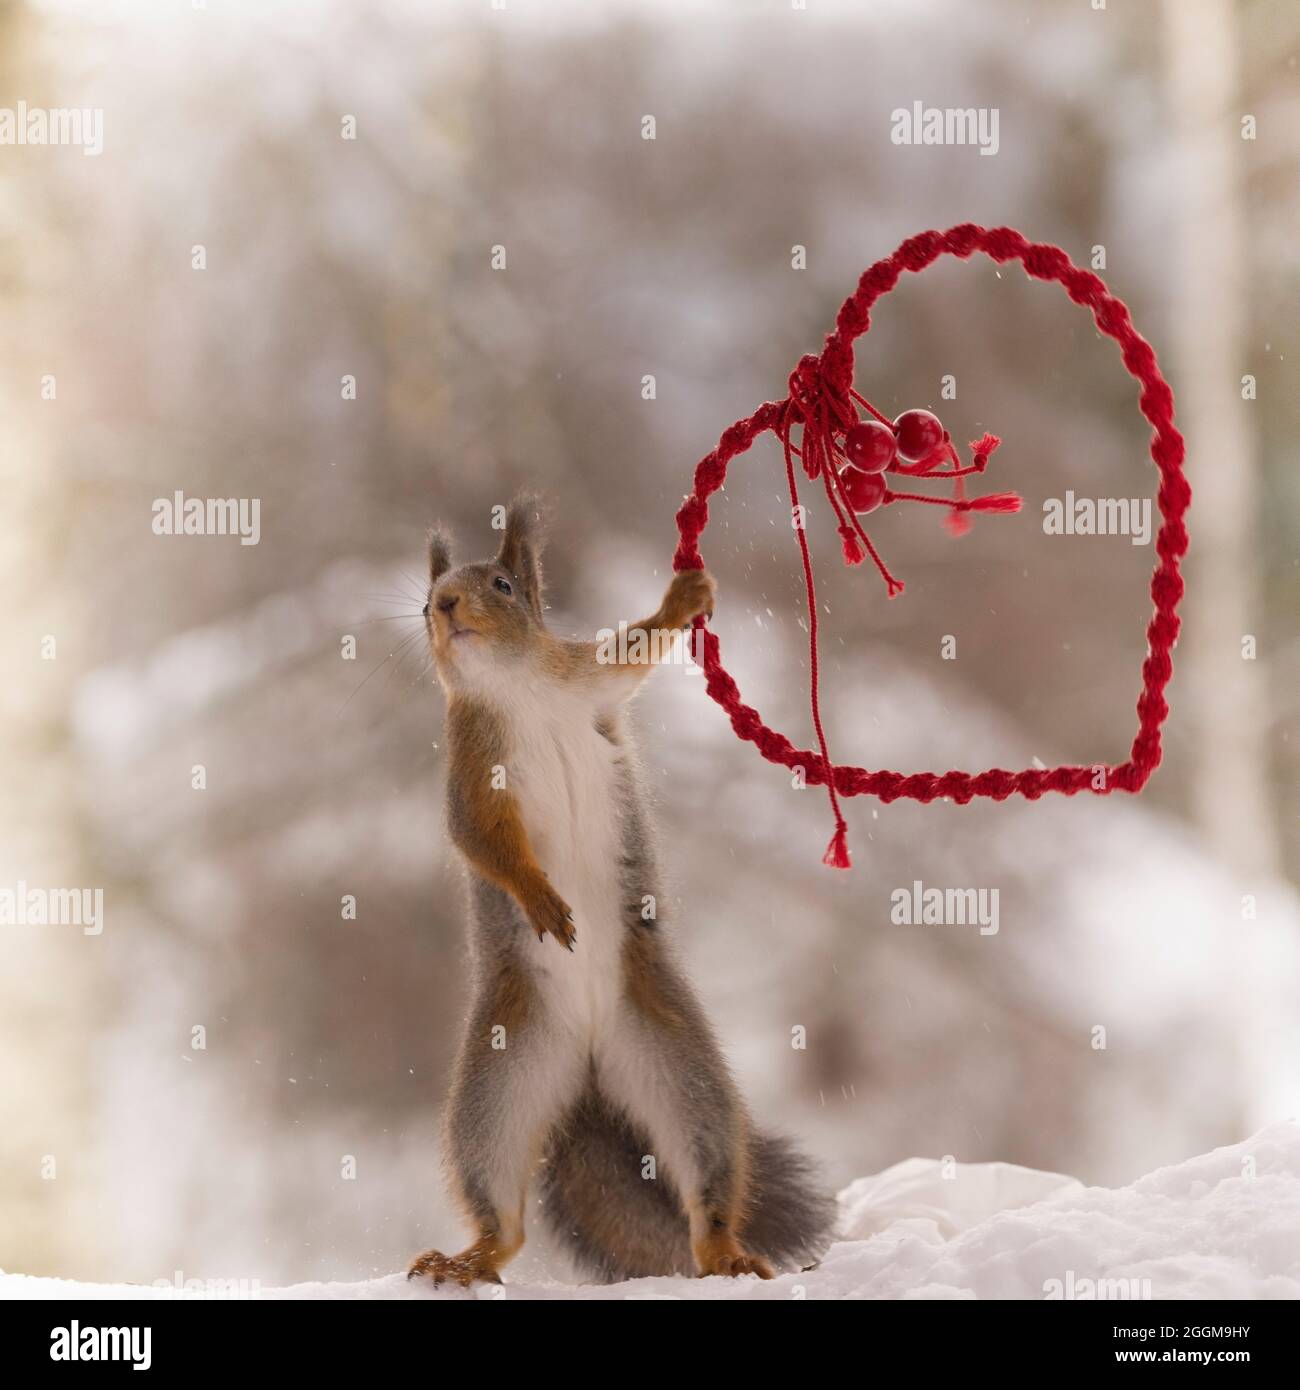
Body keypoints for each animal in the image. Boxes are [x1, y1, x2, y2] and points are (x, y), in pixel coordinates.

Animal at [407, 496, 835, 1286]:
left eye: (502, 586)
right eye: (424, 602)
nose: (445, 607)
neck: (517, 687)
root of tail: (586, 1075)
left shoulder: (588, 679)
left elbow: (636, 649)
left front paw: (683, 599)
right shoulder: (471, 765)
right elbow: (479, 838)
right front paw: (540, 897)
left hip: (675, 1062)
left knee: (706, 1179)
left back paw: (726, 1253)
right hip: (499, 1084)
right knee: (502, 1216)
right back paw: (468, 1259)